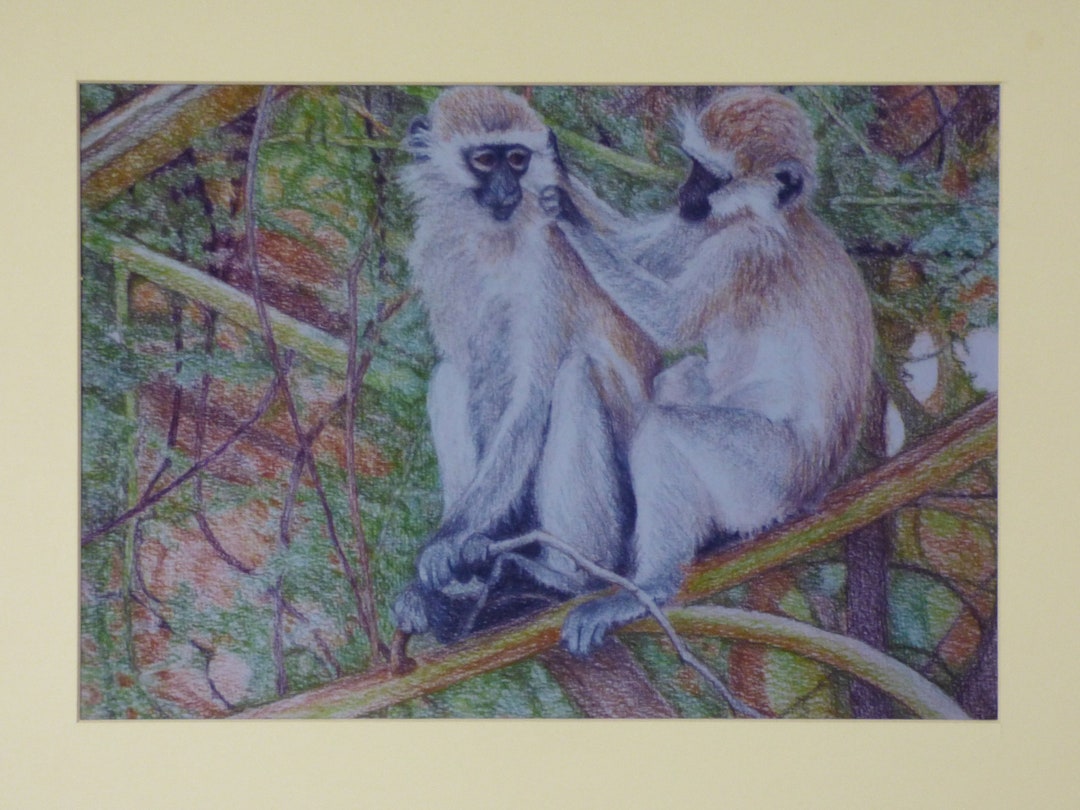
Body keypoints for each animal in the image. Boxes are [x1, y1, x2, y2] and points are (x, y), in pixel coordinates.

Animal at [391, 87, 661, 643]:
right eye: (485, 160)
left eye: (517, 159)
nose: (505, 187)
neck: (490, 236)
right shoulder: (438, 251)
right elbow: (475, 375)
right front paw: (446, 572)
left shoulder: (547, 249)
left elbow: (530, 402)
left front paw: (444, 545)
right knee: (450, 377)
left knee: (573, 375)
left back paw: (567, 580)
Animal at [543, 88, 875, 655]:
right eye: (693, 164)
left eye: (713, 176)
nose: (684, 193)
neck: (771, 218)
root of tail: (812, 492)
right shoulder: (707, 227)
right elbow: (638, 248)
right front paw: (557, 169)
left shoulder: (745, 250)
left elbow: (672, 321)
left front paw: (569, 216)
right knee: (679, 383)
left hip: (765, 476)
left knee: (667, 430)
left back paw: (652, 585)